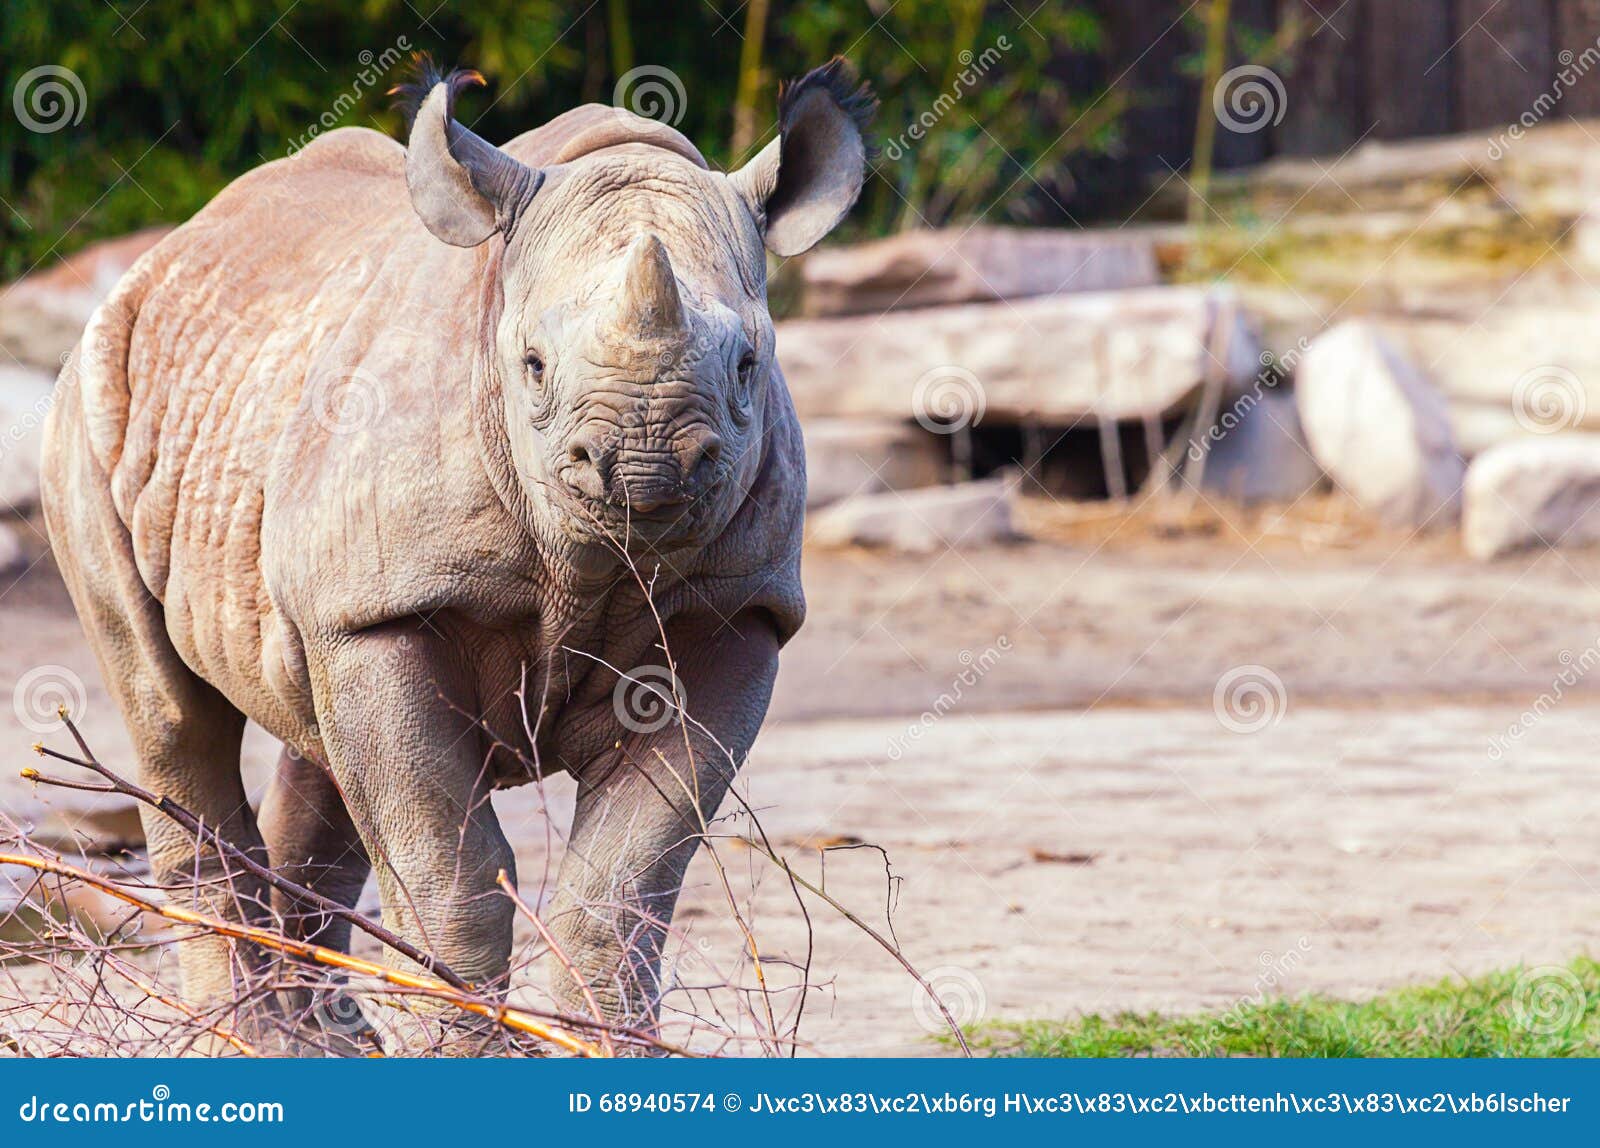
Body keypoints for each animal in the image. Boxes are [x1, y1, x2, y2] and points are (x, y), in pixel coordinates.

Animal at [40, 57, 874, 1051]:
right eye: (533, 365)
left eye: (750, 364)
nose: (645, 465)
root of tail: (169, 250)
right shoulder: (383, 610)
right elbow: (451, 876)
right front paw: (463, 1049)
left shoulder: (735, 611)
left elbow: (620, 890)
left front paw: (609, 1052)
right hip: (94, 397)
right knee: (172, 715)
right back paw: (241, 1038)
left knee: (315, 739)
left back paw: (327, 1038)